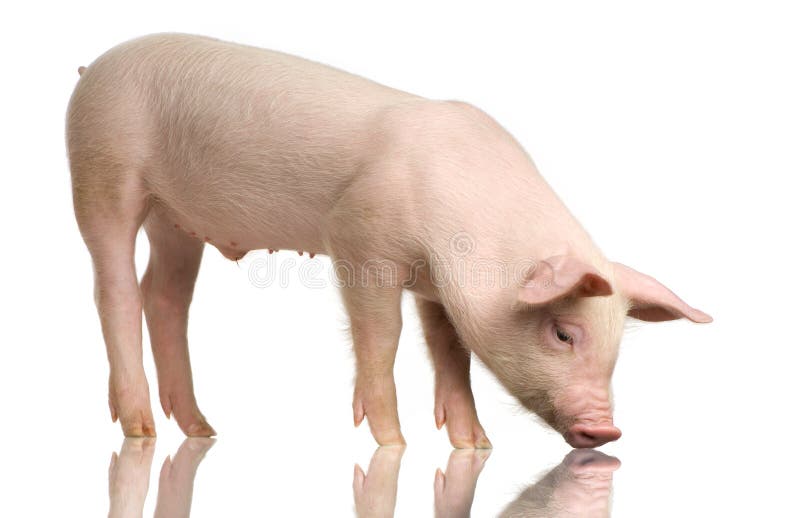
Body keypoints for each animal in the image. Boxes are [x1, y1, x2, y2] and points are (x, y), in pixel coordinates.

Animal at [66, 33, 711, 448]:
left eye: (616, 349)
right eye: (562, 332)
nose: (607, 430)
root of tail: (93, 68)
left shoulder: (437, 287)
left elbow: (450, 352)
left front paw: (475, 446)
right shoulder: (359, 237)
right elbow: (383, 336)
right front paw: (392, 443)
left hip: (175, 219)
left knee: (165, 296)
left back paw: (201, 429)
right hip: (101, 169)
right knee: (113, 289)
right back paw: (141, 429)